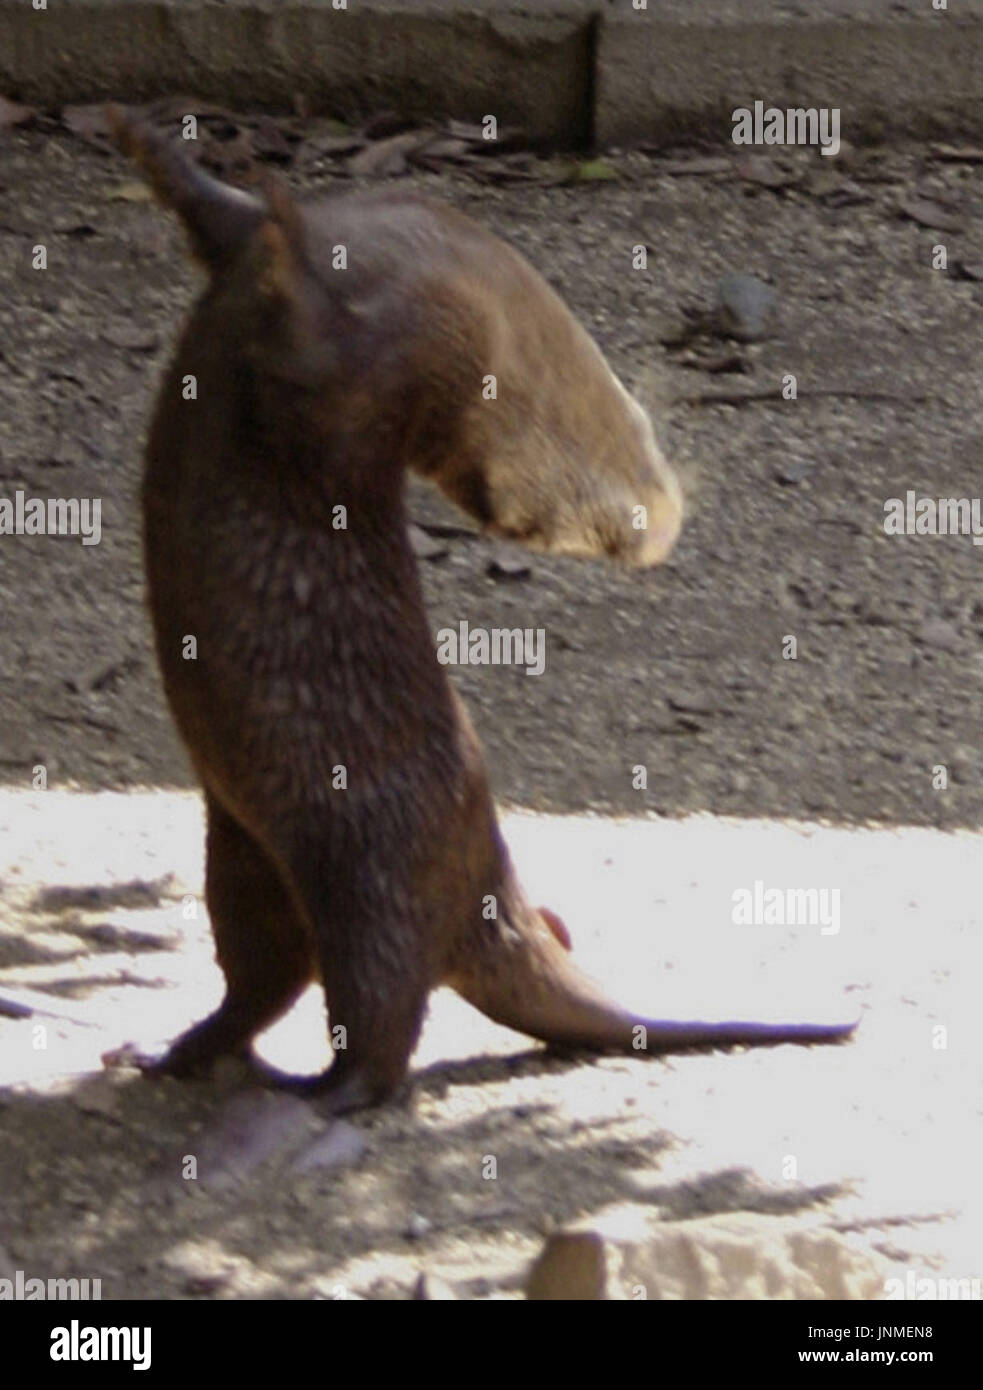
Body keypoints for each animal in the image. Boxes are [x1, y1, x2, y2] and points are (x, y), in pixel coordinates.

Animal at [110, 113, 856, 1115]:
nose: (647, 524)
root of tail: (483, 882)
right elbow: (222, 217)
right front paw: (158, 147)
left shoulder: (342, 374)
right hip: (243, 849)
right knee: (265, 980)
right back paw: (176, 1055)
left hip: (367, 870)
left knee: (379, 1022)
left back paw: (310, 1099)